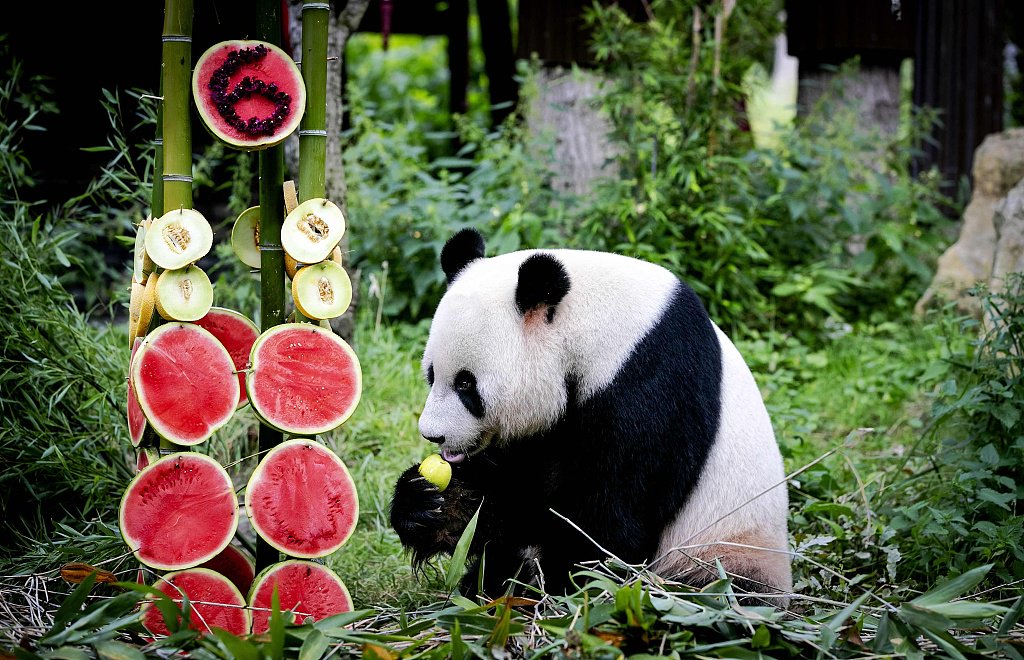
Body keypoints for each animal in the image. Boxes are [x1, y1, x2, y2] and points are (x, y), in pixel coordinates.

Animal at [390, 228, 792, 602]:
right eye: (431, 375)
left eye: (466, 385)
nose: (433, 435)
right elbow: (514, 491)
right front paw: (431, 505)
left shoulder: (650, 384)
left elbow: (610, 520)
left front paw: (559, 584)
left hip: (724, 550)